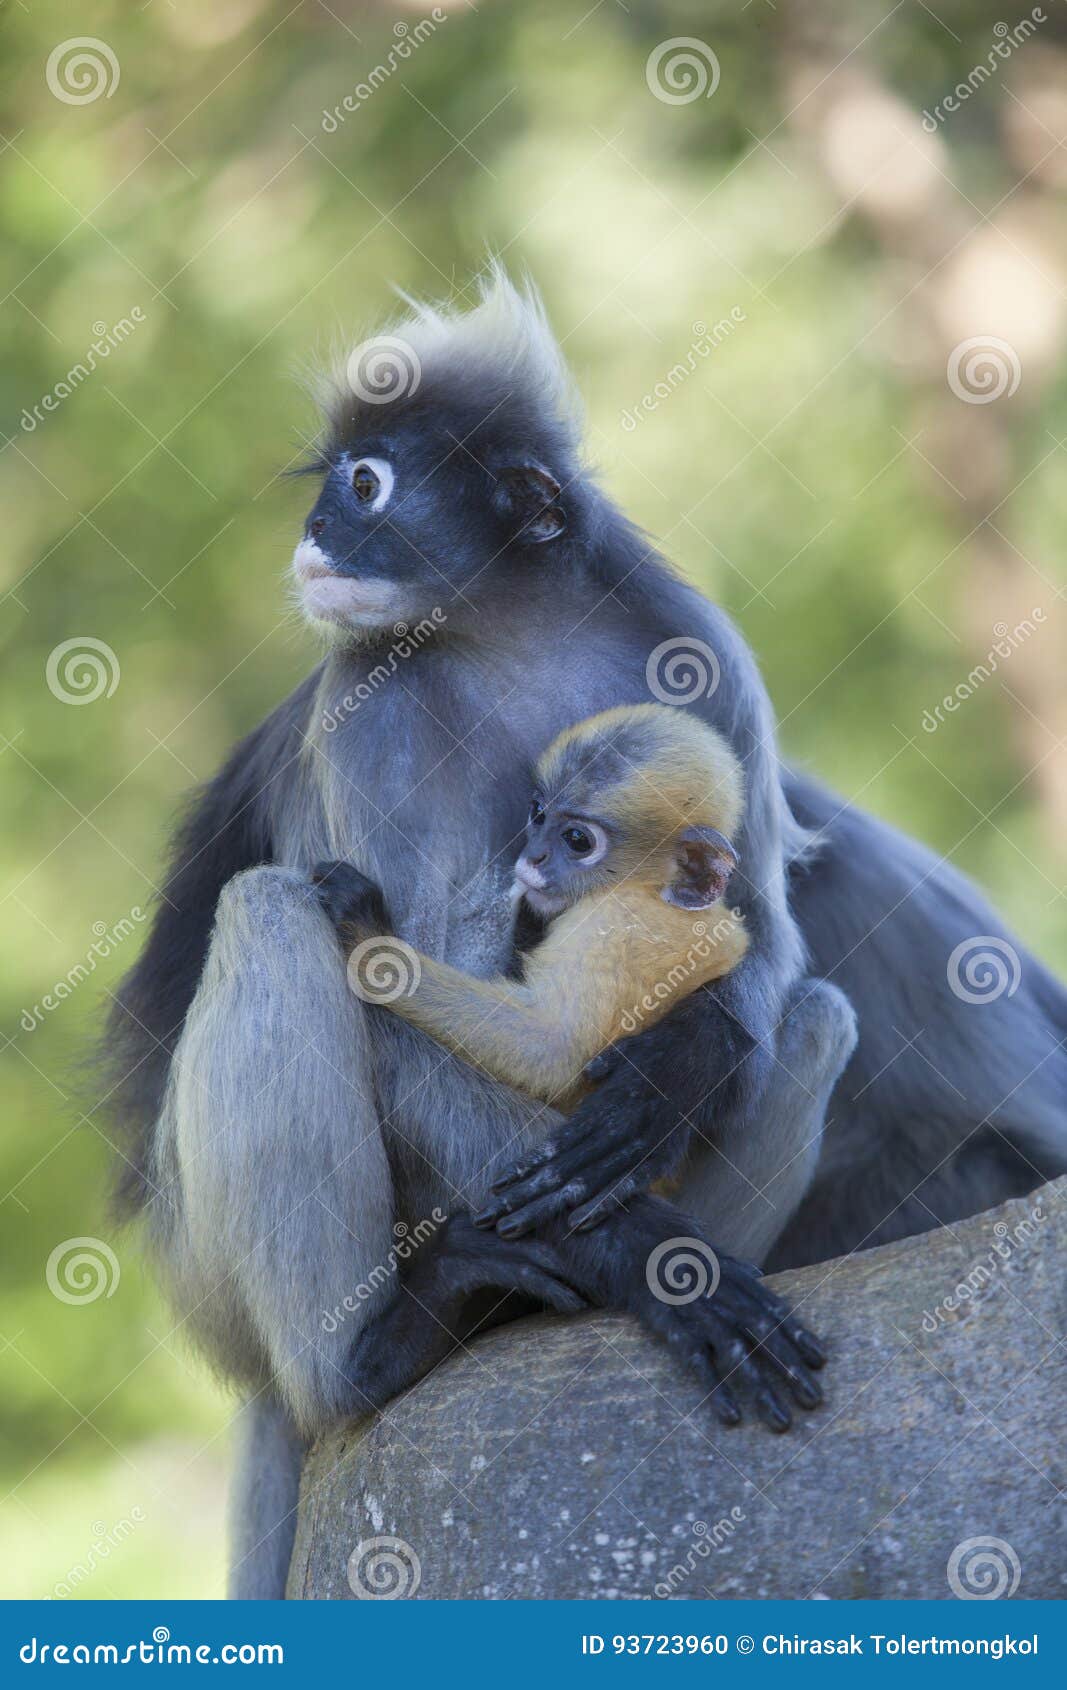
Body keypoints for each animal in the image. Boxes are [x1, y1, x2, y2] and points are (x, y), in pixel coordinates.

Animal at [313, 704, 748, 1122]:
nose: (532, 855)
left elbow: (551, 1051)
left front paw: (369, 935)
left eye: (577, 839)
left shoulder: (613, 926)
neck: (648, 891)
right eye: (538, 813)